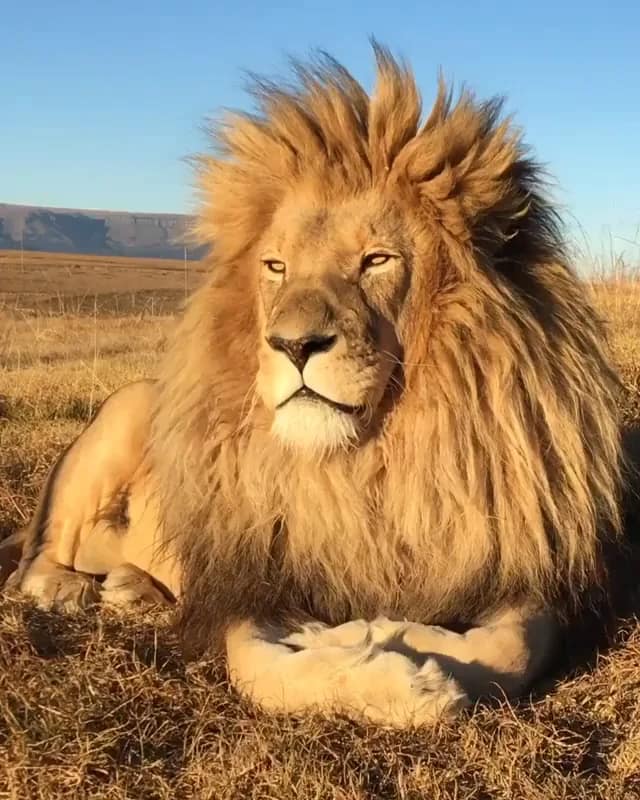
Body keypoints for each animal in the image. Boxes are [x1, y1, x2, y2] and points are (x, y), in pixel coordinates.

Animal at [2, 44, 632, 728]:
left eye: (377, 260)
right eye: (276, 267)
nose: (294, 345)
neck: (369, 465)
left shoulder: (518, 568)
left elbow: (517, 645)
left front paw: (407, 638)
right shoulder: (250, 583)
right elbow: (260, 670)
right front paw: (390, 672)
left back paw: (133, 587)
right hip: (121, 419)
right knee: (35, 555)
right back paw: (65, 586)